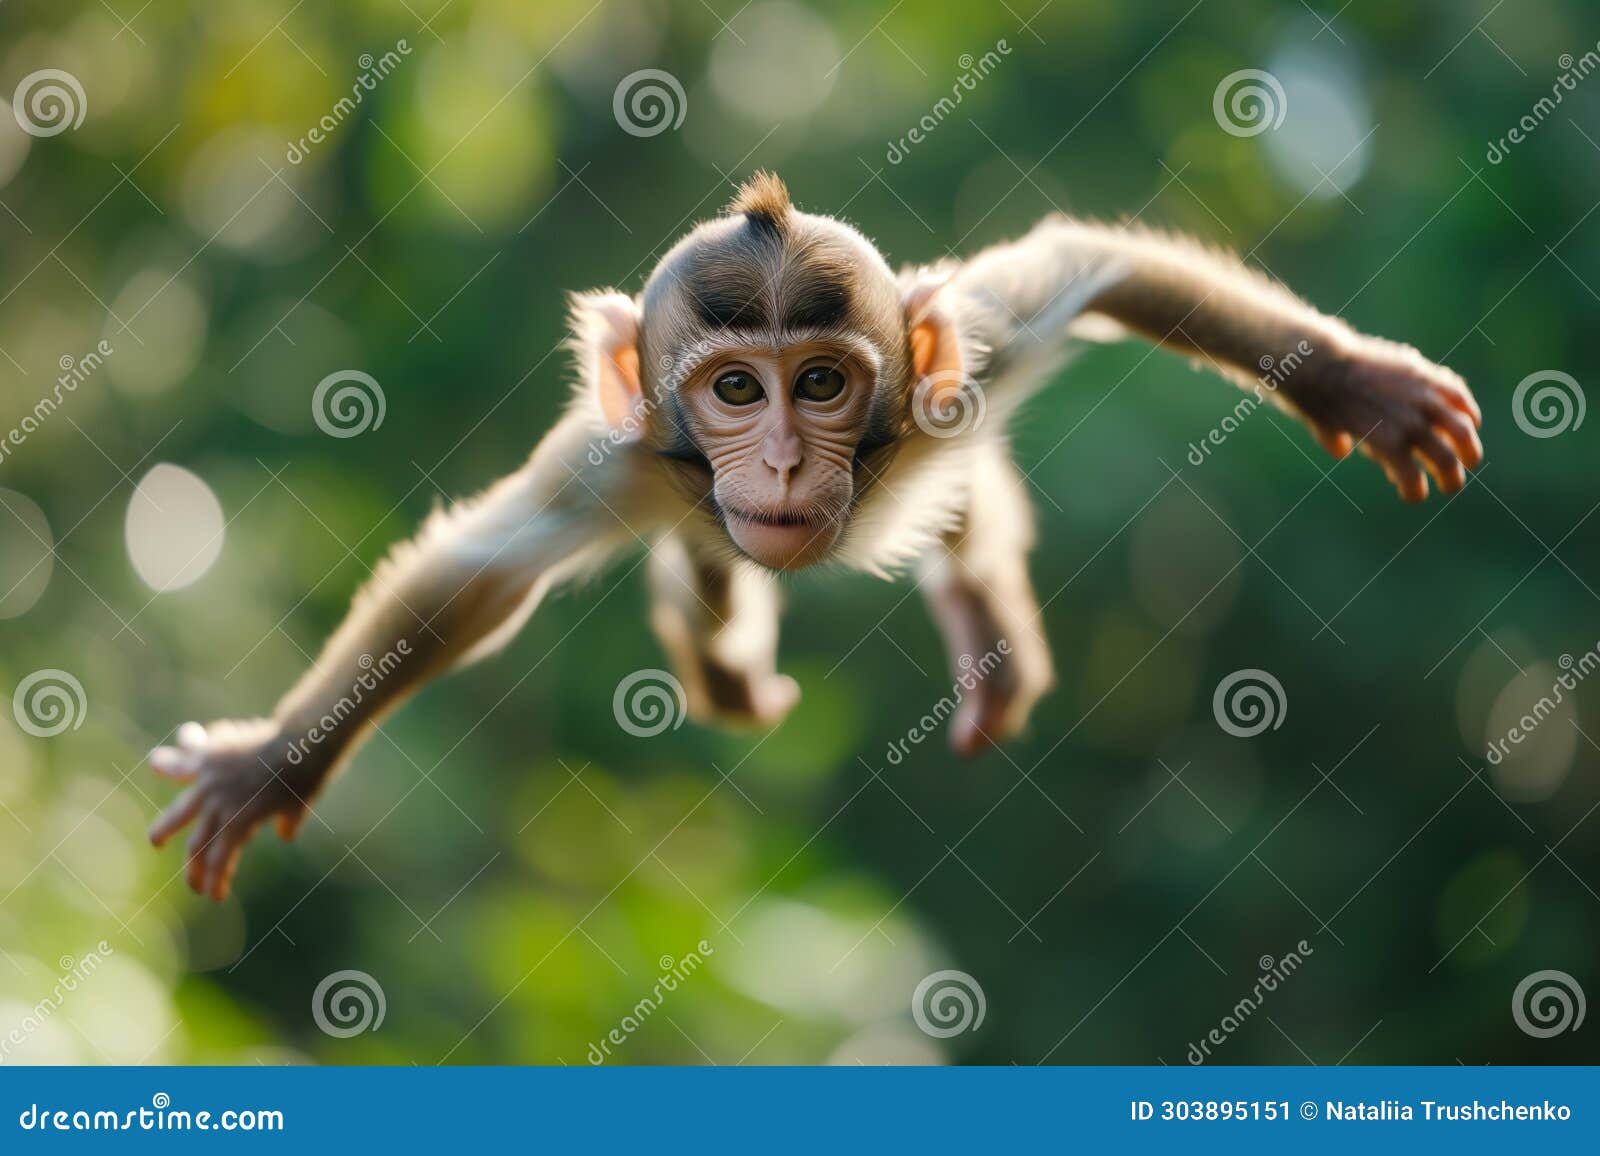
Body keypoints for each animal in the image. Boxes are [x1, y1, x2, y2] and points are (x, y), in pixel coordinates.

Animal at [148, 172, 1483, 901]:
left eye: (824, 384)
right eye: (737, 391)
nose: (786, 457)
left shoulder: (966, 359)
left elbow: (1088, 264)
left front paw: (1358, 384)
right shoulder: (616, 462)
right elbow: (471, 575)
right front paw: (265, 767)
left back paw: (977, 609)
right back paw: (727, 651)